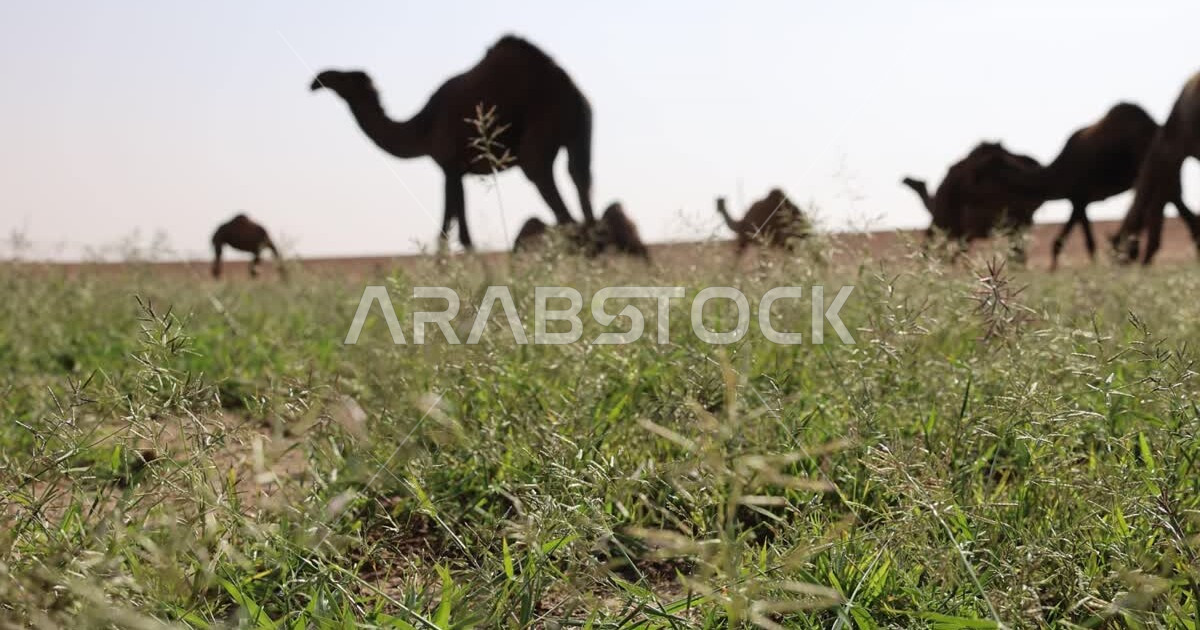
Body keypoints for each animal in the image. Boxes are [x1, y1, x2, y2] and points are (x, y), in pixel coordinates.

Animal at [311, 35, 595, 252]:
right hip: (579, 135)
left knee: (562, 209)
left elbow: (452, 232)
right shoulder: (458, 171)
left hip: (540, 136)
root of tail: (572, 91)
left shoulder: (450, 165)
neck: (423, 128)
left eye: (347, 77)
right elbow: (456, 231)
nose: (316, 81)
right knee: (581, 187)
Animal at [976, 103, 1196, 269]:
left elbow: (1080, 242)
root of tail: (1156, 127)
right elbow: (1072, 240)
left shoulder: (1079, 197)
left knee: (1170, 199)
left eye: (984, 166)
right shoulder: (1080, 200)